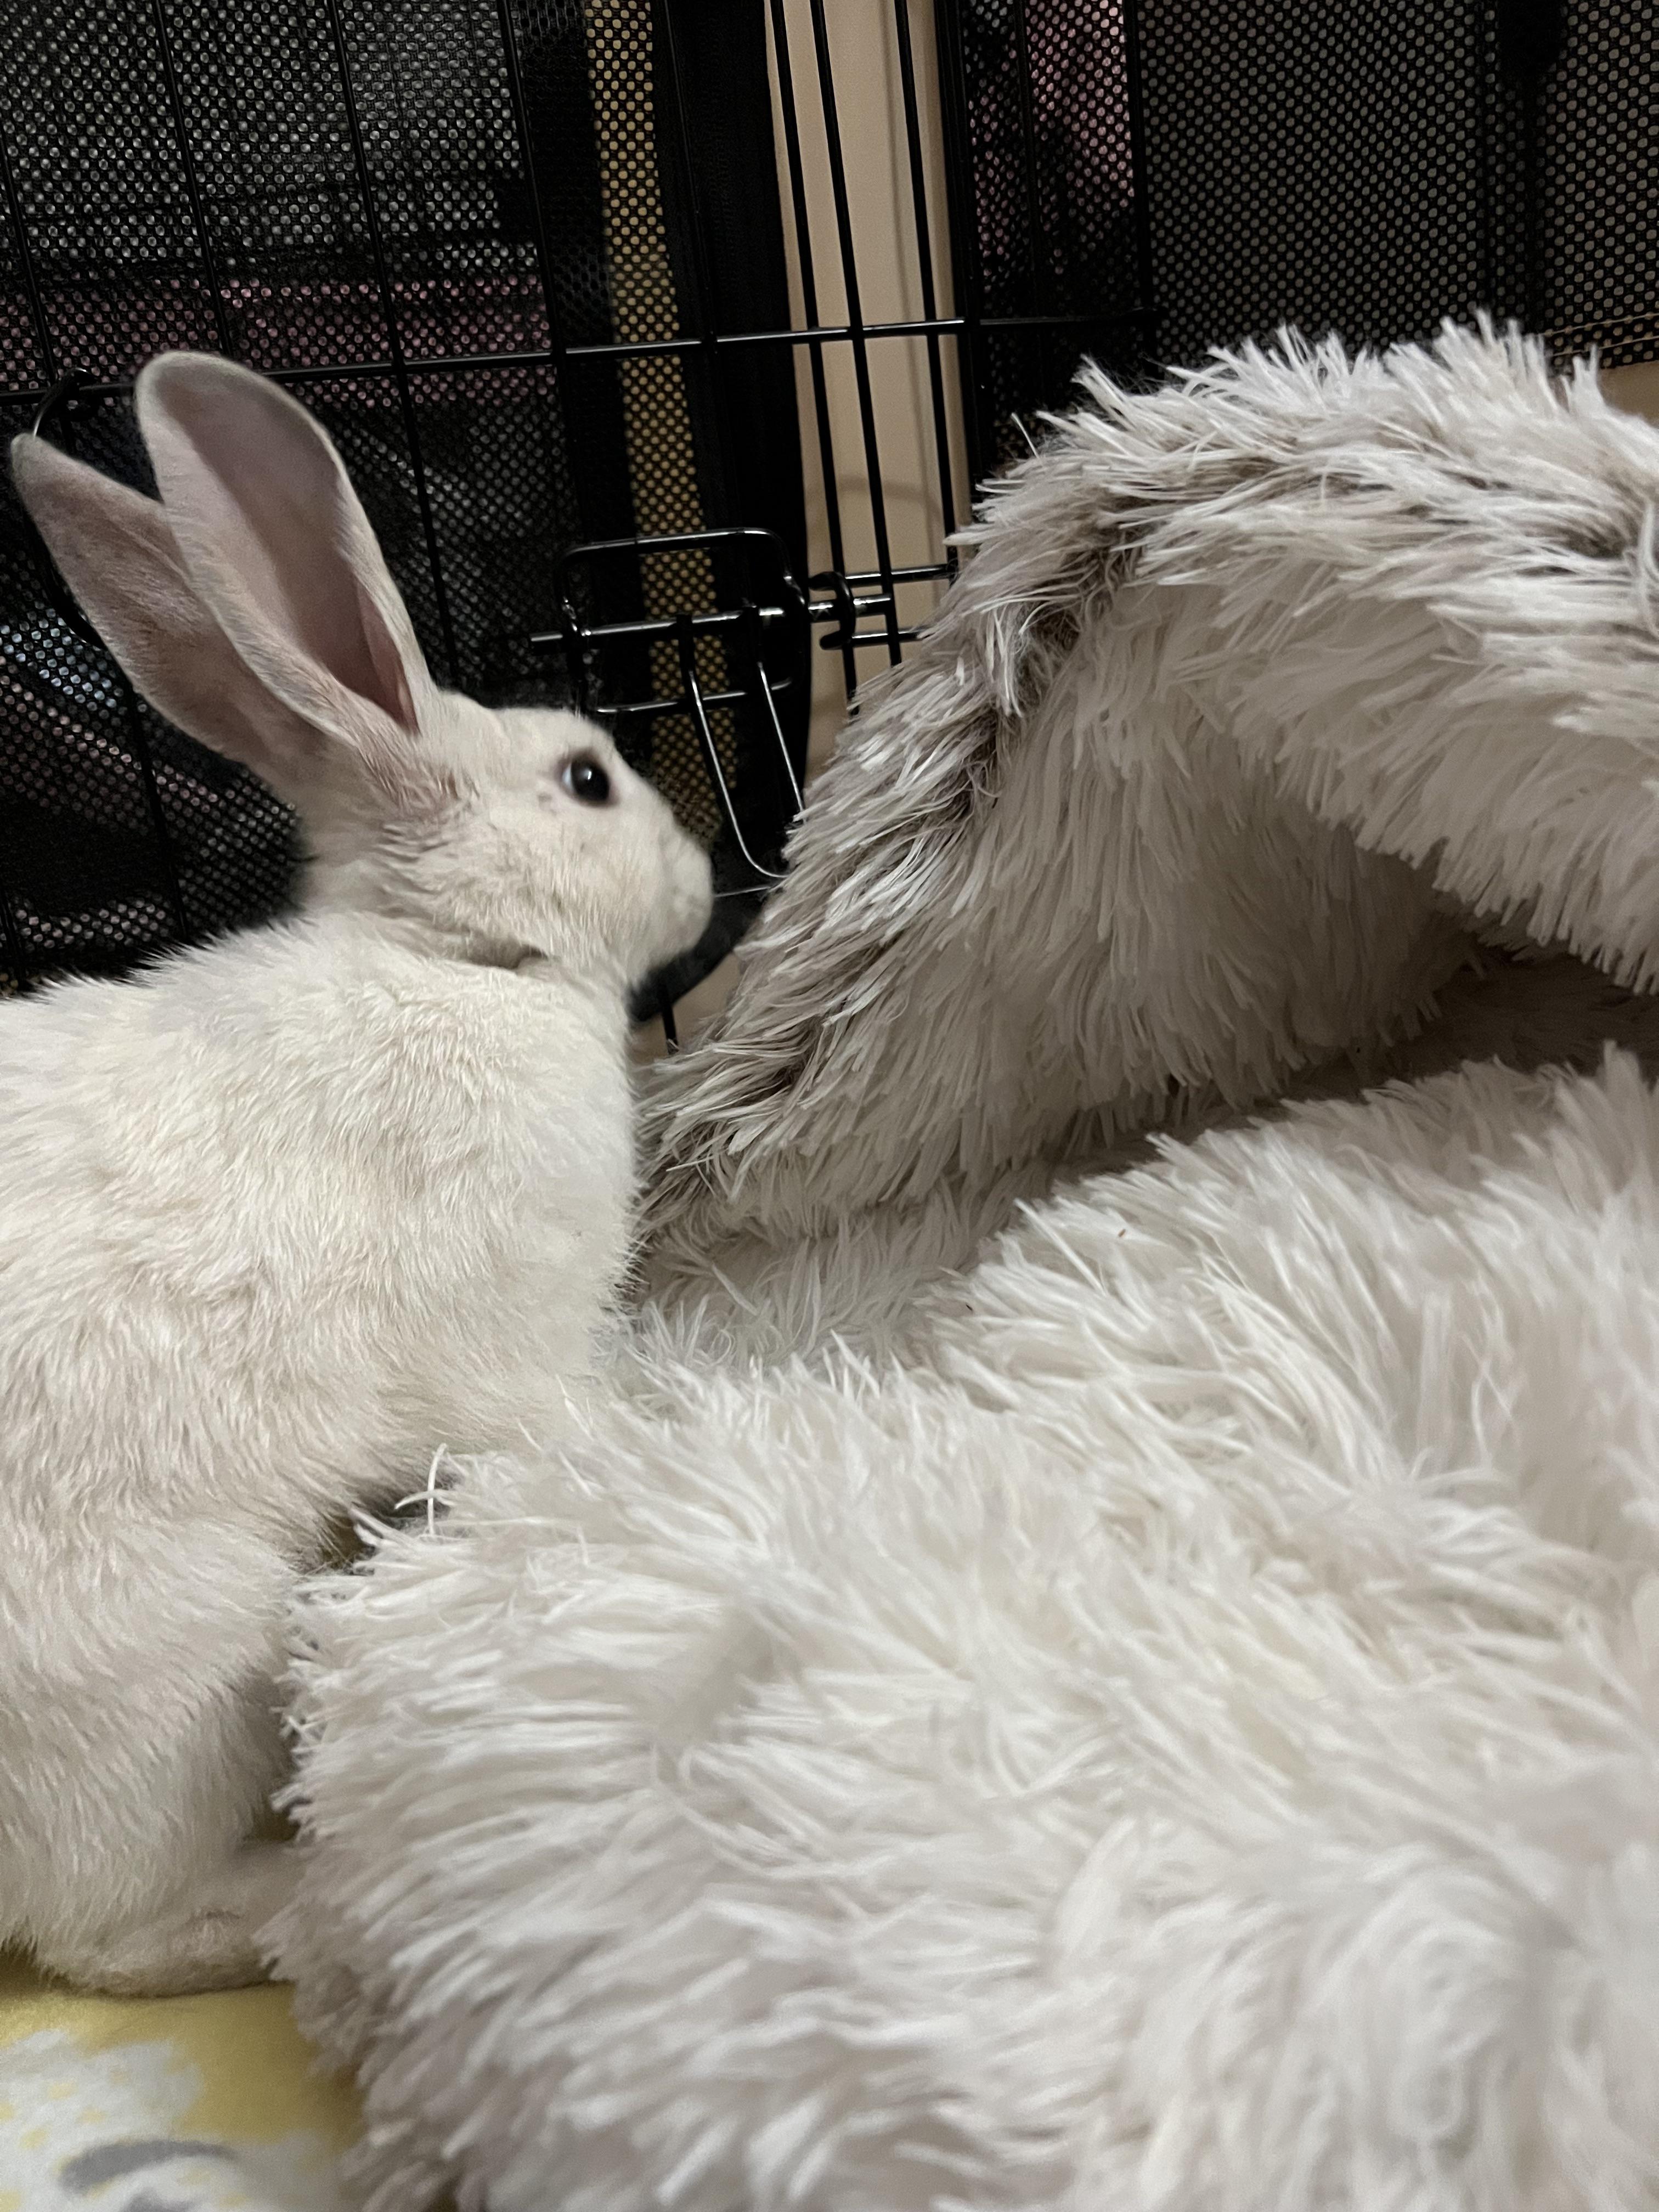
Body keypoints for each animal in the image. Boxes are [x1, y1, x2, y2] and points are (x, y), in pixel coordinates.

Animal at [0, 352, 713, 1996]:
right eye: (587, 779)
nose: (706, 871)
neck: (461, 959)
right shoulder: (510, 1357)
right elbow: (556, 1424)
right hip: (174, 1660)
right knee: (104, 1938)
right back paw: (288, 1906)